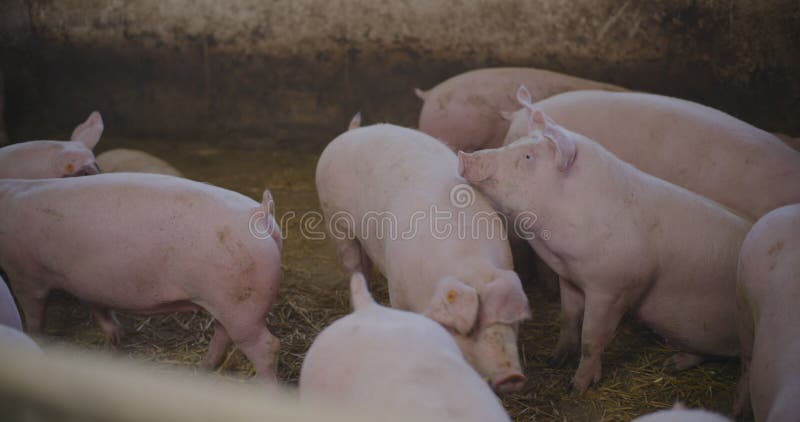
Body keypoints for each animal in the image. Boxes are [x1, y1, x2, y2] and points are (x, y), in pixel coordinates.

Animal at [0, 173, 282, 381]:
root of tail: (259, 212)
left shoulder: (24, 274)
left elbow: (35, 317)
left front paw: (36, 339)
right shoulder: (86, 282)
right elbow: (98, 307)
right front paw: (115, 341)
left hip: (241, 303)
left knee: (267, 346)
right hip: (229, 303)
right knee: (223, 333)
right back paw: (202, 369)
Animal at [316, 121, 531, 392]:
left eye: (510, 321)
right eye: (470, 328)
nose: (512, 377)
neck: (471, 264)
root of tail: (350, 132)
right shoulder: (398, 291)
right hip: (335, 220)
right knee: (352, 262)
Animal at [458, 110, 751, 393]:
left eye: (528, 156)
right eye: (516, 143)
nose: (464, 155)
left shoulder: (613, 288)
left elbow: (591, 338)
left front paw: (576, 387)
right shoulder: (570, 277)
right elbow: (568, 318)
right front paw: (555, 359)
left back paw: (672, 365)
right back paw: (672, 363)